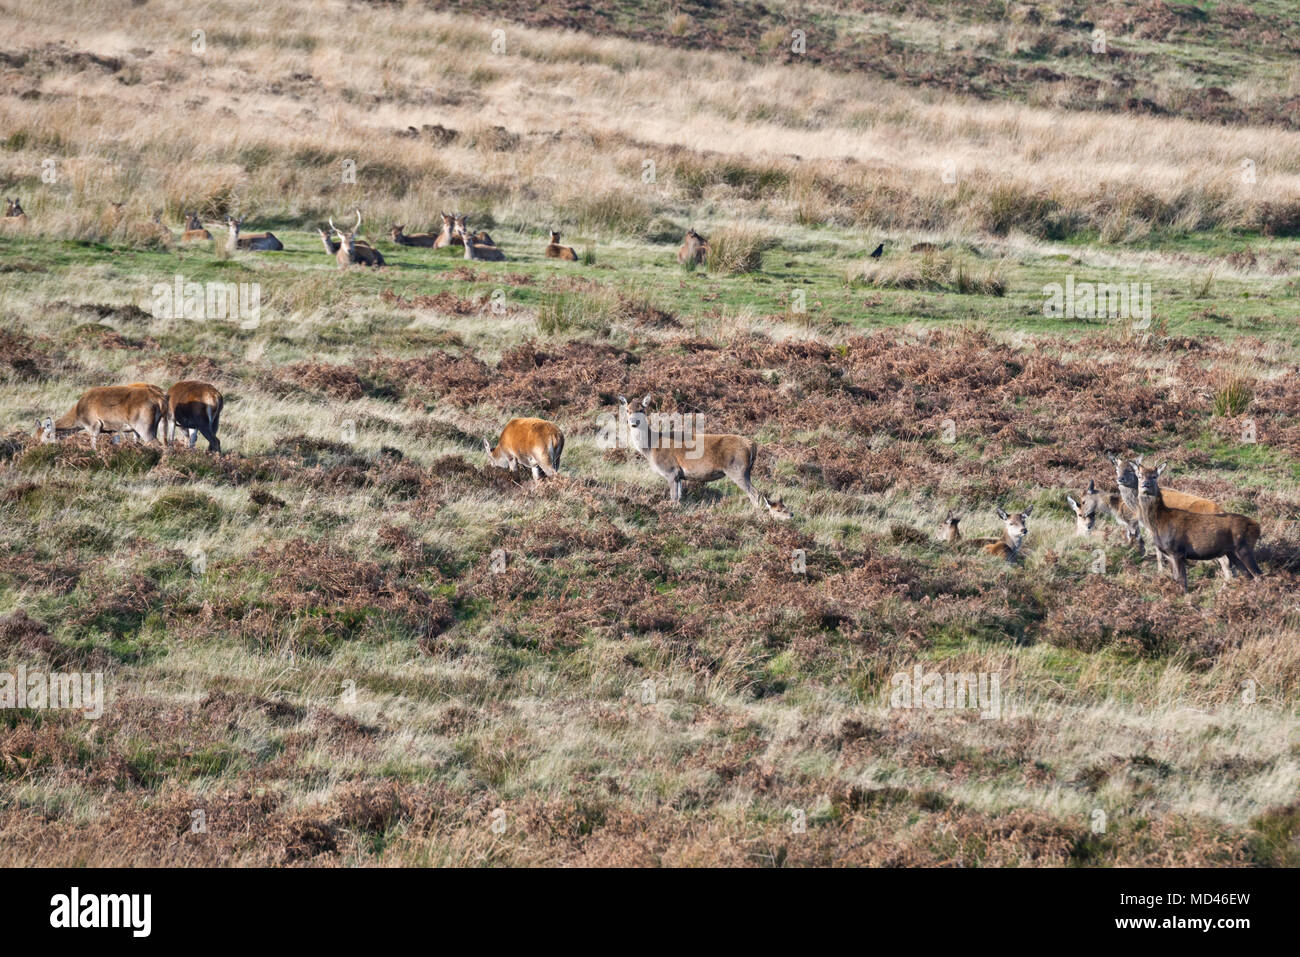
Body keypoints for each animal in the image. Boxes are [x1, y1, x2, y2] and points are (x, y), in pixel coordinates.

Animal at [37, 383, 166, 448]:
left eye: (46, 435)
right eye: (36, 434)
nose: (38, 446)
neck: (78, 416)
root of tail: (159, 399)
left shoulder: (93, 425)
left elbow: (93, 446)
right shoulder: (109, 430)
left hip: (143, 426)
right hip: (156, 425)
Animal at [619, 395, 786, 519]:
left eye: (642, 409)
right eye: (627, 410)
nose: (633, 422)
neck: (652, 448)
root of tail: (752, 445)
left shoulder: (671, 471)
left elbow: (673, 498)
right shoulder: (679, 475)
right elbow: (680, 497)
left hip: (737, 469)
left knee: (755, 494)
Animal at [1133, 461, 1262, 592]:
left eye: (1154, 476)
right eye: (1139, 476)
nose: (1145, 485)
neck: (1159, 523)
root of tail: (1258, 527)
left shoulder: (1178, 551)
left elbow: (1183, 582)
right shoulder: (1168, 554)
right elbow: (1175, 578)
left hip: (1244, 548)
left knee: (1258, 574)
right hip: (1231, 552)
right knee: (1247, 575)